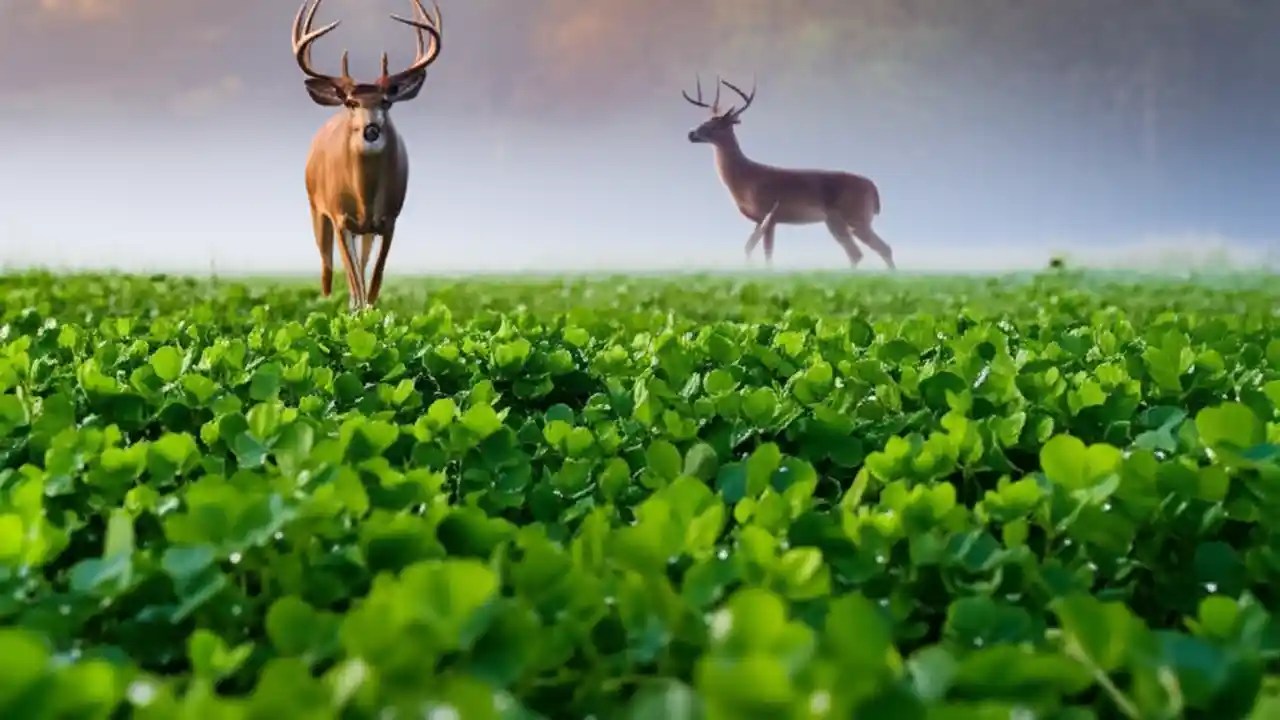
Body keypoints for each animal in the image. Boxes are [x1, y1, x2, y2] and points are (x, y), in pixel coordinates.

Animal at [291, 0, 444, 312]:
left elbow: (374, 280)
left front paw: (371, 315)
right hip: (316, 209)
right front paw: (356, 314)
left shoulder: (389, 219)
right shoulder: (339, 216)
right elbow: (353, 280)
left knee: (361, 267)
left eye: (386, 101)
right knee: (328, 269)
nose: (371, 130)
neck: (364, 196)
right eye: (351, 102)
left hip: (365, 231)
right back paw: (328, 301)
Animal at [683, 76, 895, 270]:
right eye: (705, 120)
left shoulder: (769, 214)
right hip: (839, 221)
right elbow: (748, 248)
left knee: (870, 250)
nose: (691, 133)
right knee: (864, 252)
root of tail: (873, 187)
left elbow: (768, 254)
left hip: (854, 216)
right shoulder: (759, 219)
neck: (745, 178)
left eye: (714, 126)